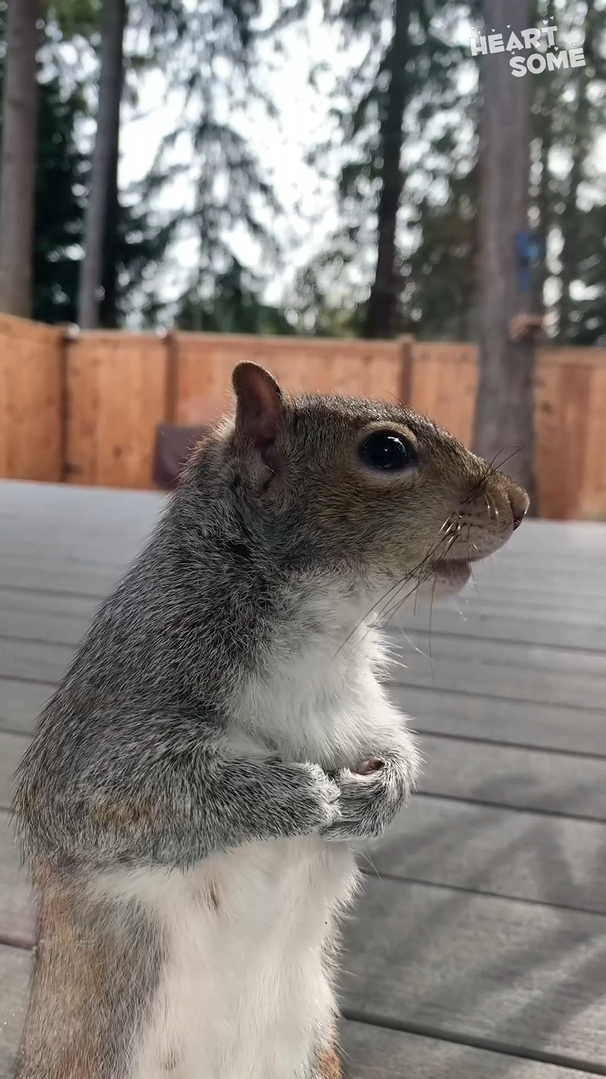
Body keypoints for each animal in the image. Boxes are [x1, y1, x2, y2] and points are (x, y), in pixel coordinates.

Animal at [12, 362, 529, 1079]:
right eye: (386, 451)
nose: (521, 503)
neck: (320, 628)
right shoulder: (111, 709)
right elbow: (92, 804)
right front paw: (292, 797)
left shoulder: (360, 708)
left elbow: (394, 744)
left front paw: (380, 794)